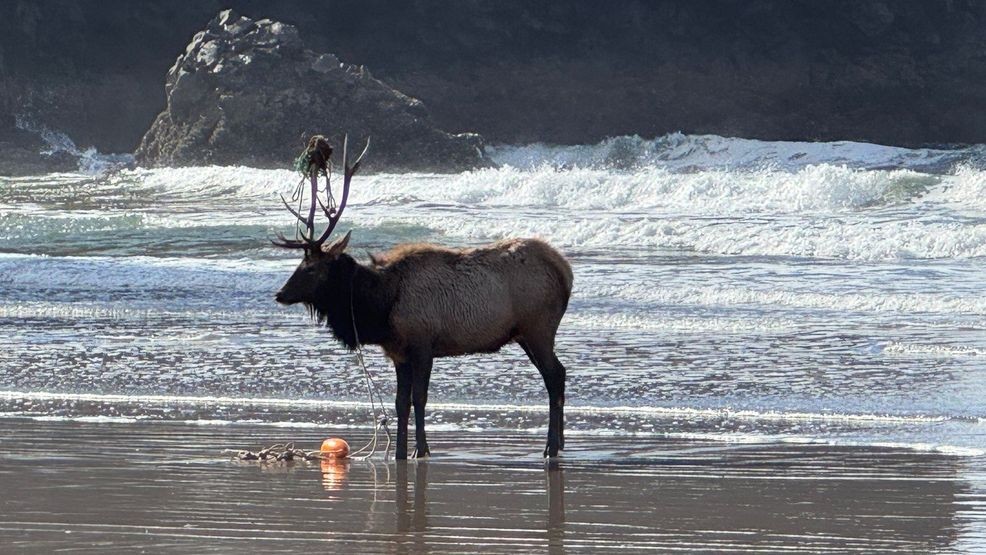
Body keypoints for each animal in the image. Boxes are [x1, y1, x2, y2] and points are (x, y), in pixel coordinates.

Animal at [272, 135, 573, 459]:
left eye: (312, 268)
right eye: (300, 264)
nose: (280, 294)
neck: (381, 306)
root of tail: (565, 271)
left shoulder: (423, 342)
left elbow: (420, 398)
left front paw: (421, 449)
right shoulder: (398, 352)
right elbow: (399, 403)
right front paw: (400, 453)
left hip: (538, 326)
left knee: (555, 376)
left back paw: (551, 446)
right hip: (525, 334)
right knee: (558, 375)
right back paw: (557, 444)